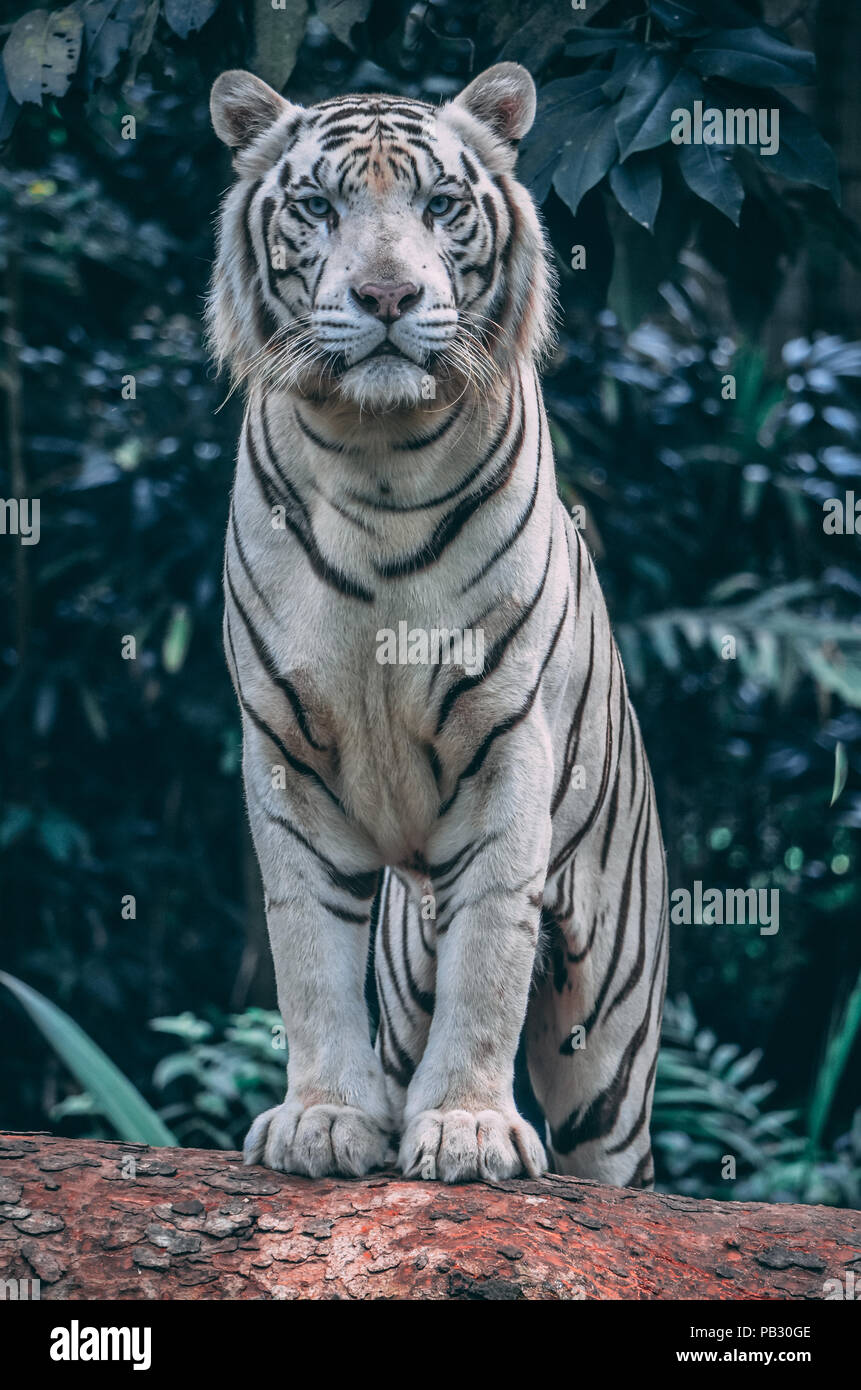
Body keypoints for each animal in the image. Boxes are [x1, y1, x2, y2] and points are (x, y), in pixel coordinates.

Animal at [208, 61, 669, 1187]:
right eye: (319, 207)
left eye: (440, 205)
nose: (386, 297)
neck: (376, 454)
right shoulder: (283, 751)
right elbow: (307, 955)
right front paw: (324, 1117)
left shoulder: (507, 740)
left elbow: (489, 958)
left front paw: (465, 1128)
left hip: (611, 1043)